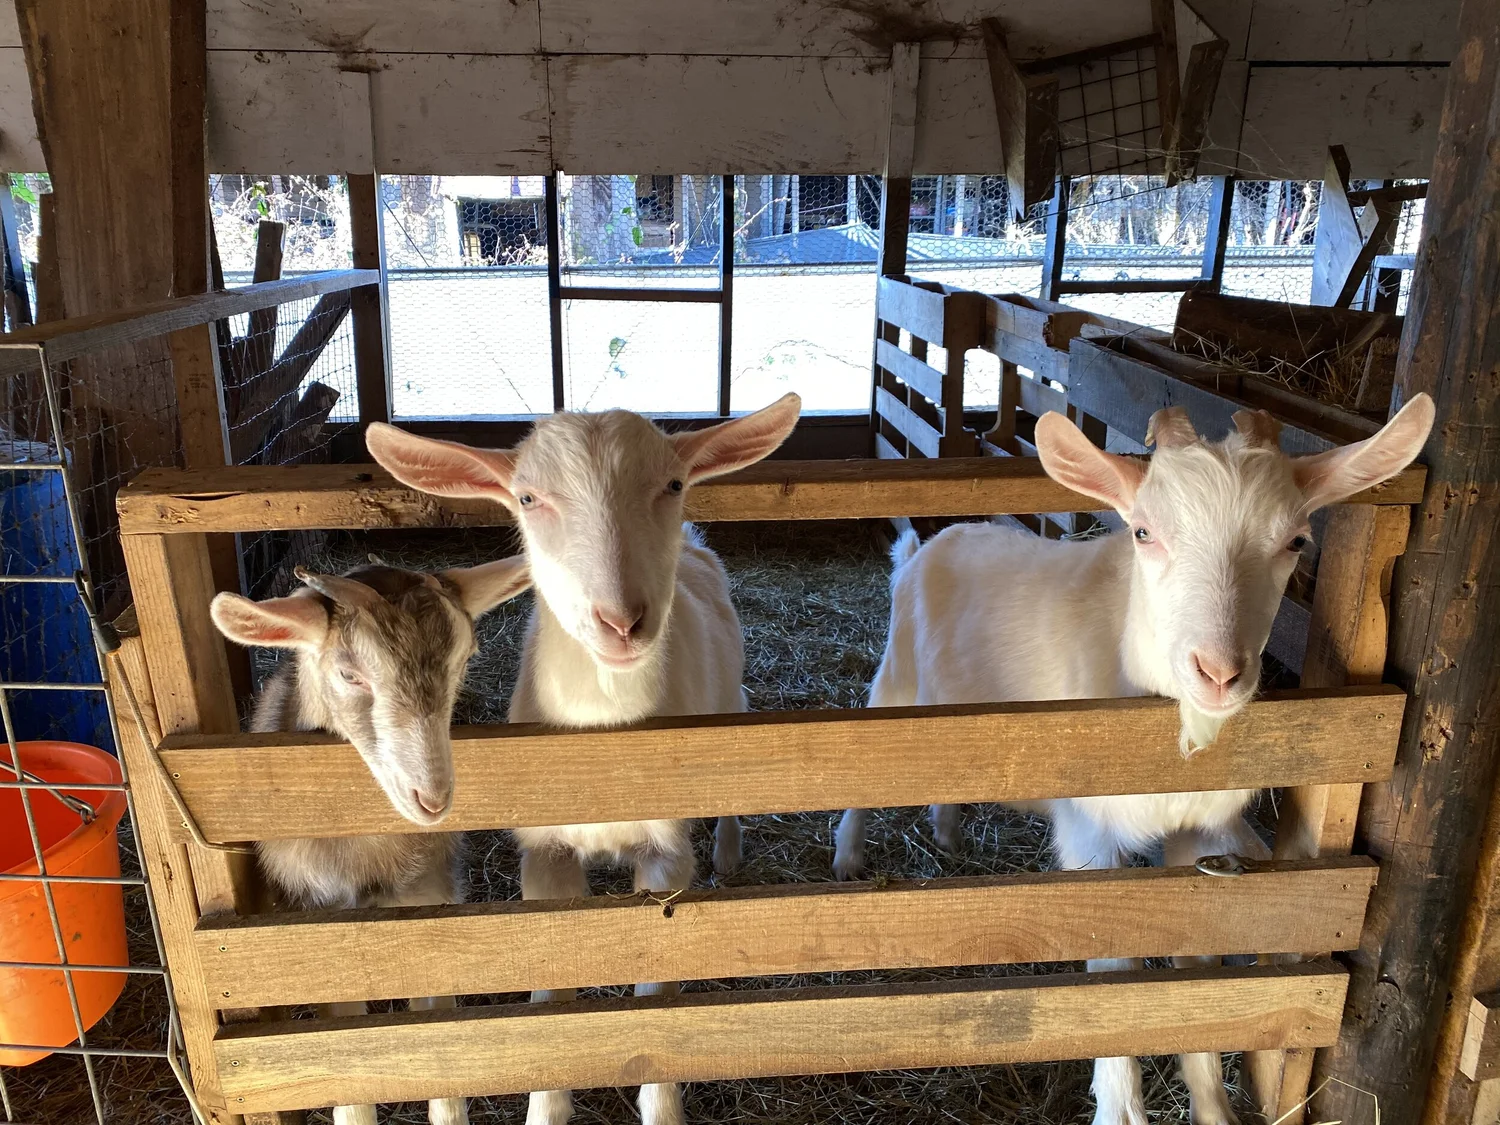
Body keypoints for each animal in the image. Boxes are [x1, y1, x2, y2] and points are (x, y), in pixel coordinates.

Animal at [365, 391, 802, 1125]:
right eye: (528, 496)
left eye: (672, 483)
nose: (622, 621)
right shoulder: (545, 853)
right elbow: (555, 998)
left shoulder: (665, 853)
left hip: (731, 701)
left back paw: (730, 854)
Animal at [834, 395, 1433, 1125]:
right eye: (1144, 532)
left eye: (1294, 542)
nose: (1218, 672)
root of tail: (929, 544)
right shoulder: (1092, 841)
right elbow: (1114, 986)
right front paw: (1120, 1106)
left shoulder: (1200, 840)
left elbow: (1193, 970)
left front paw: (1213, 1107)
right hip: (896, 684)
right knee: (864, 776)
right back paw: (848, 856)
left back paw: (947, 836)